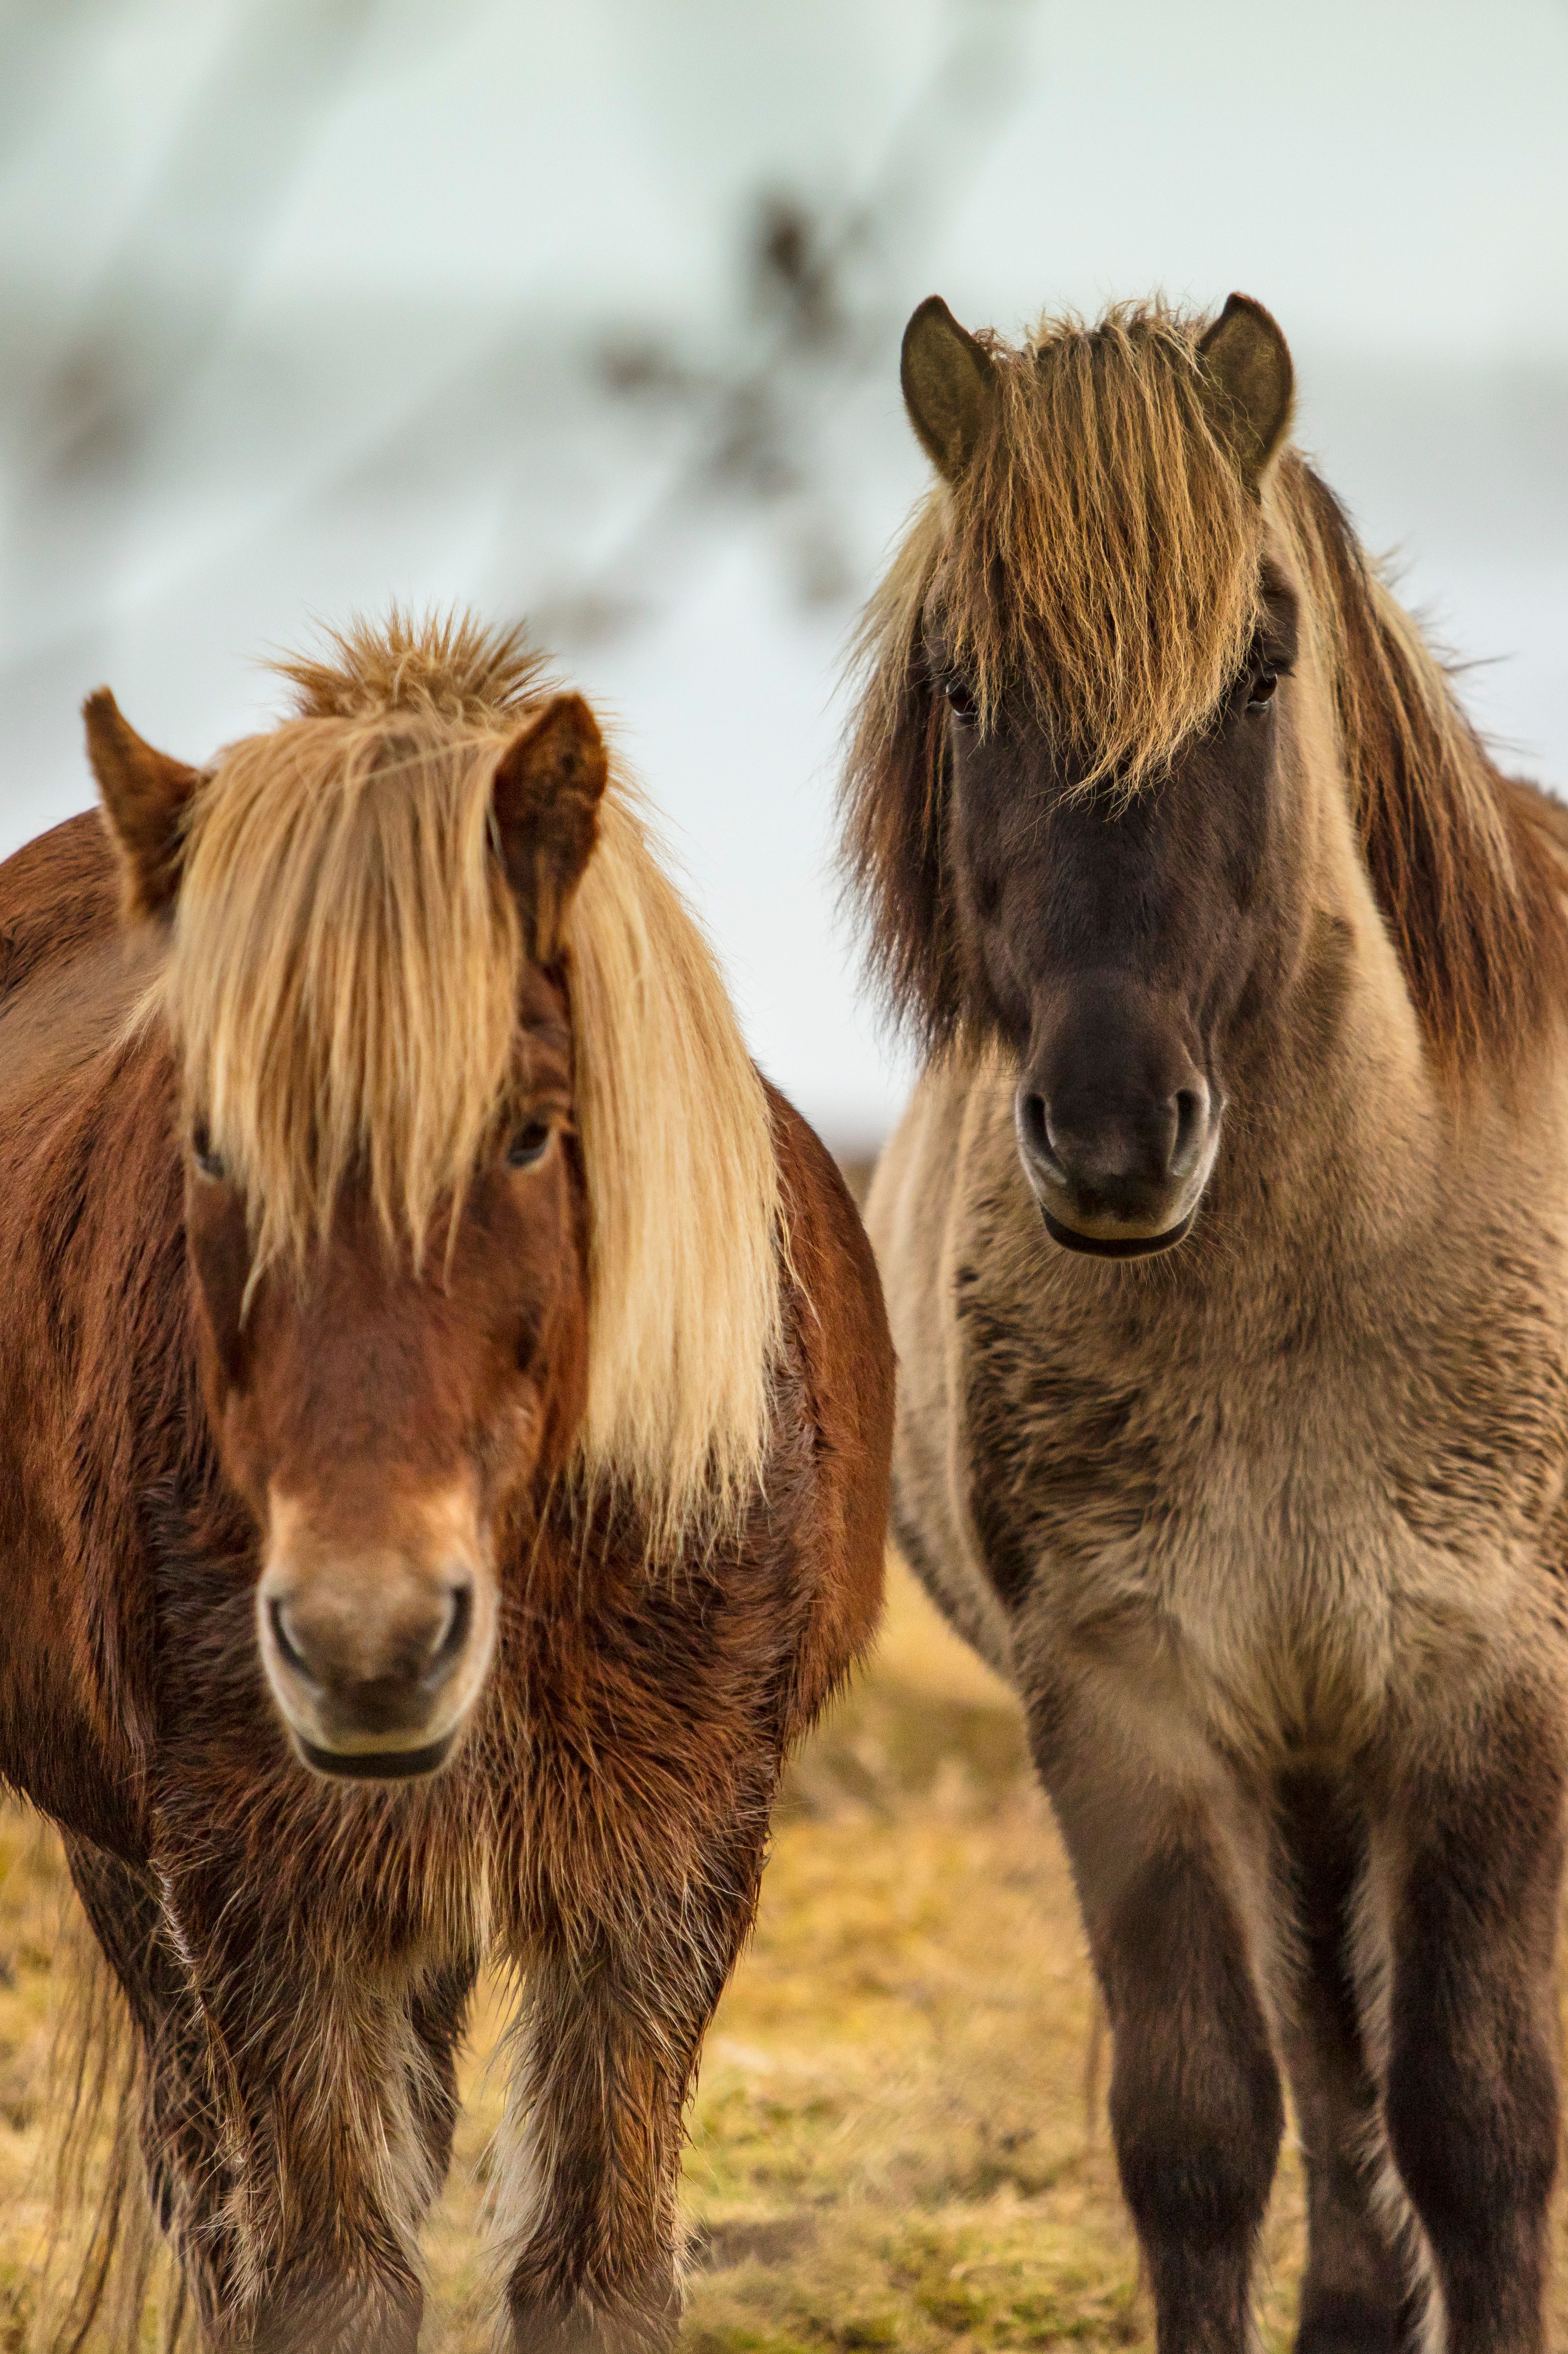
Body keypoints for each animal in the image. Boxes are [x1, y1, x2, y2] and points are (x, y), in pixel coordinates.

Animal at [0, 610, 893, 2353]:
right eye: (208, 1141)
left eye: (535, 1133)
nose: (368, 1644)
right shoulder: (262, 1897)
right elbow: (325, 2282)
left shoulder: (656, 1889)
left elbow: (594, 2277)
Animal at [845, 291, 1568, 2353]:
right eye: (957, 685)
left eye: (1255, 670)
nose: (1108, 1130)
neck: (1302, 1308)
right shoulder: (1133, 1702)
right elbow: (1199, 2127)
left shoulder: (1480, 1682)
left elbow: (1480, 2123)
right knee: (1325, 2076)